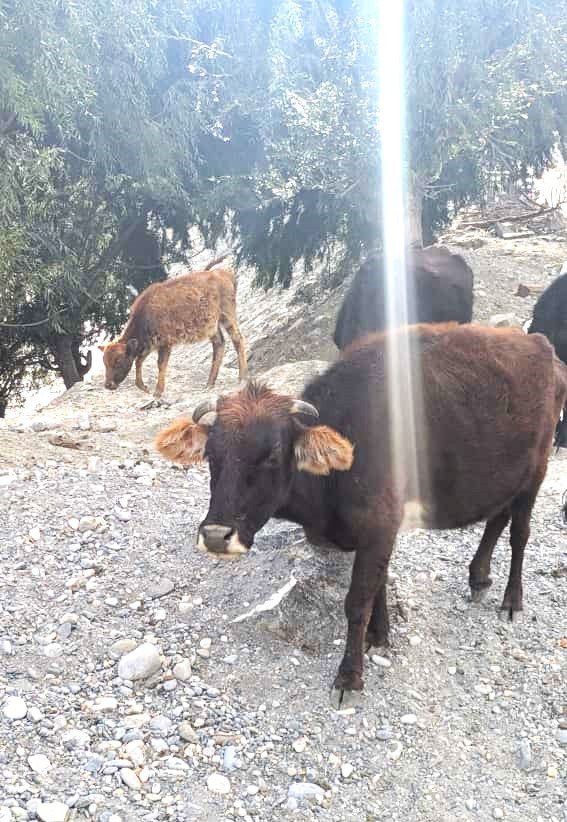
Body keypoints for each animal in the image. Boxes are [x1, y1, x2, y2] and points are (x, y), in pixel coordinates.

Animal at [100, 267, 247, 397]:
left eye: (118, 361)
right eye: (104, 362)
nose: (108, 385)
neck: (146, 314)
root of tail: (225, 274)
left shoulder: (165, 344)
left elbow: (160, 364)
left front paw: (158, 392)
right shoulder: (150, 344)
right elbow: (139, 361)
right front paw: (144, 387)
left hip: (227, 316)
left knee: (238, 339)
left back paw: (242, 377)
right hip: (212, 327)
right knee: (219, 344)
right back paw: (209, 384)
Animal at [155, 324, 566, 703]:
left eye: (272, 454)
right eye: (212, 454)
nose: (215, 536)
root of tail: (540, 344)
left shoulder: (379, 526)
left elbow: (356, 600)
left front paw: (350, 675)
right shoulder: (376, 533)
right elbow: (377, 586)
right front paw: (379, 635)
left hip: (537, 470)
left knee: (520, 533)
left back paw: (512, 601)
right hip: (507, 476)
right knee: (498, 518)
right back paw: (479, 578)